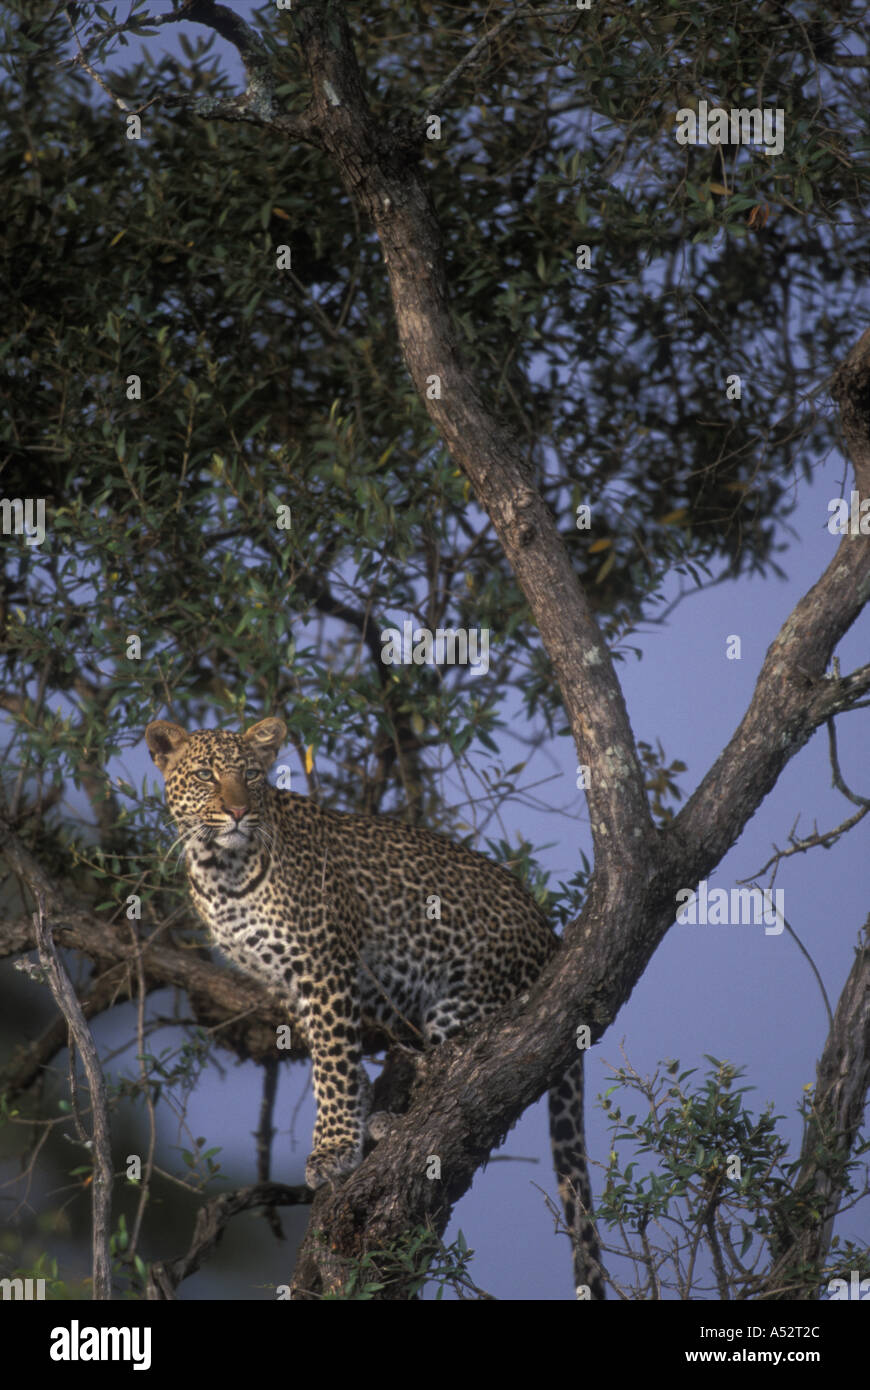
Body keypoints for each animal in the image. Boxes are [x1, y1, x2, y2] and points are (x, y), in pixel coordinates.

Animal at [145, 714, 603, 1298]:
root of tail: (552, 936)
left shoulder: (323, 962)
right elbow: (330, 1057)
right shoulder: (288, 980)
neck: (219, 868)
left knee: (468, 1082)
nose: (239, 811)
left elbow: (333, 1063)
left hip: (463, 1002)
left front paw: (335, 1148)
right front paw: (353, 1119)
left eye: (251, 775)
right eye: (205, 774)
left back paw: (397, 1122)